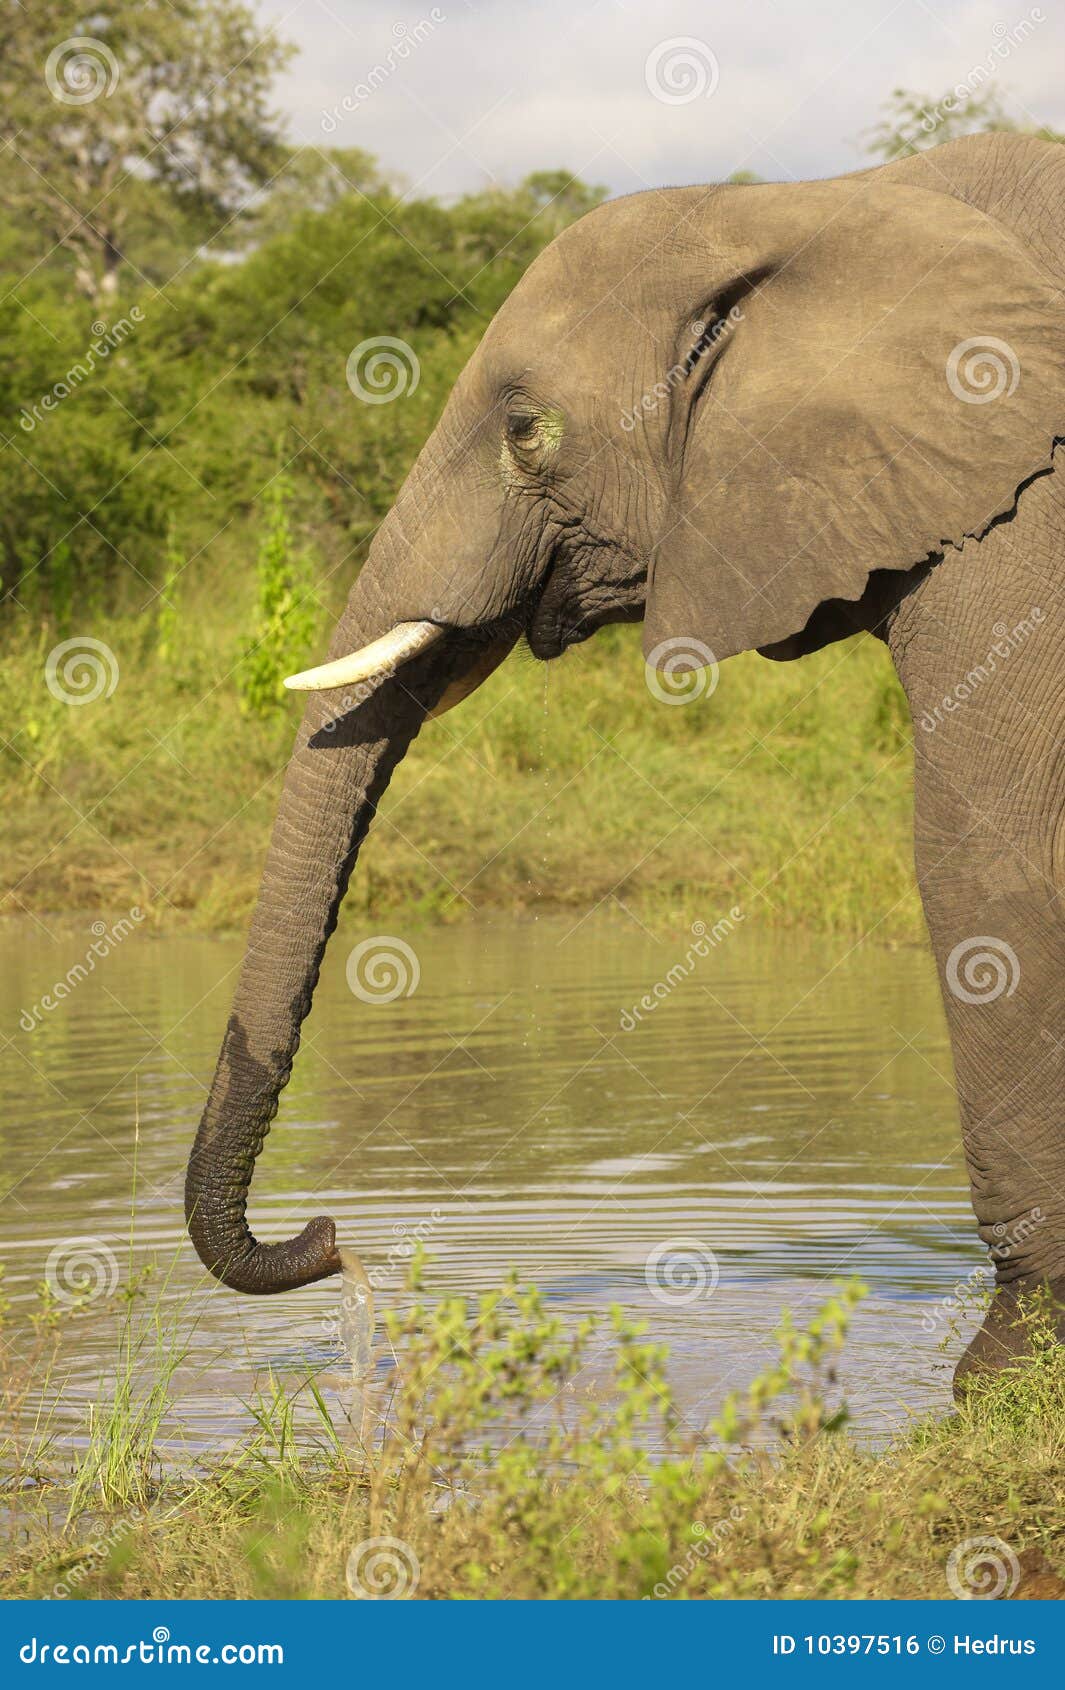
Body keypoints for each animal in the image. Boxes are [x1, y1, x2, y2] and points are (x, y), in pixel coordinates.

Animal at [186, 130, 1065, 1393]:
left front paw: (997, 1382)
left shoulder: (1021, 516)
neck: (812, 202)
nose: (329, 1236)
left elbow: (980, 851)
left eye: (525, 430)